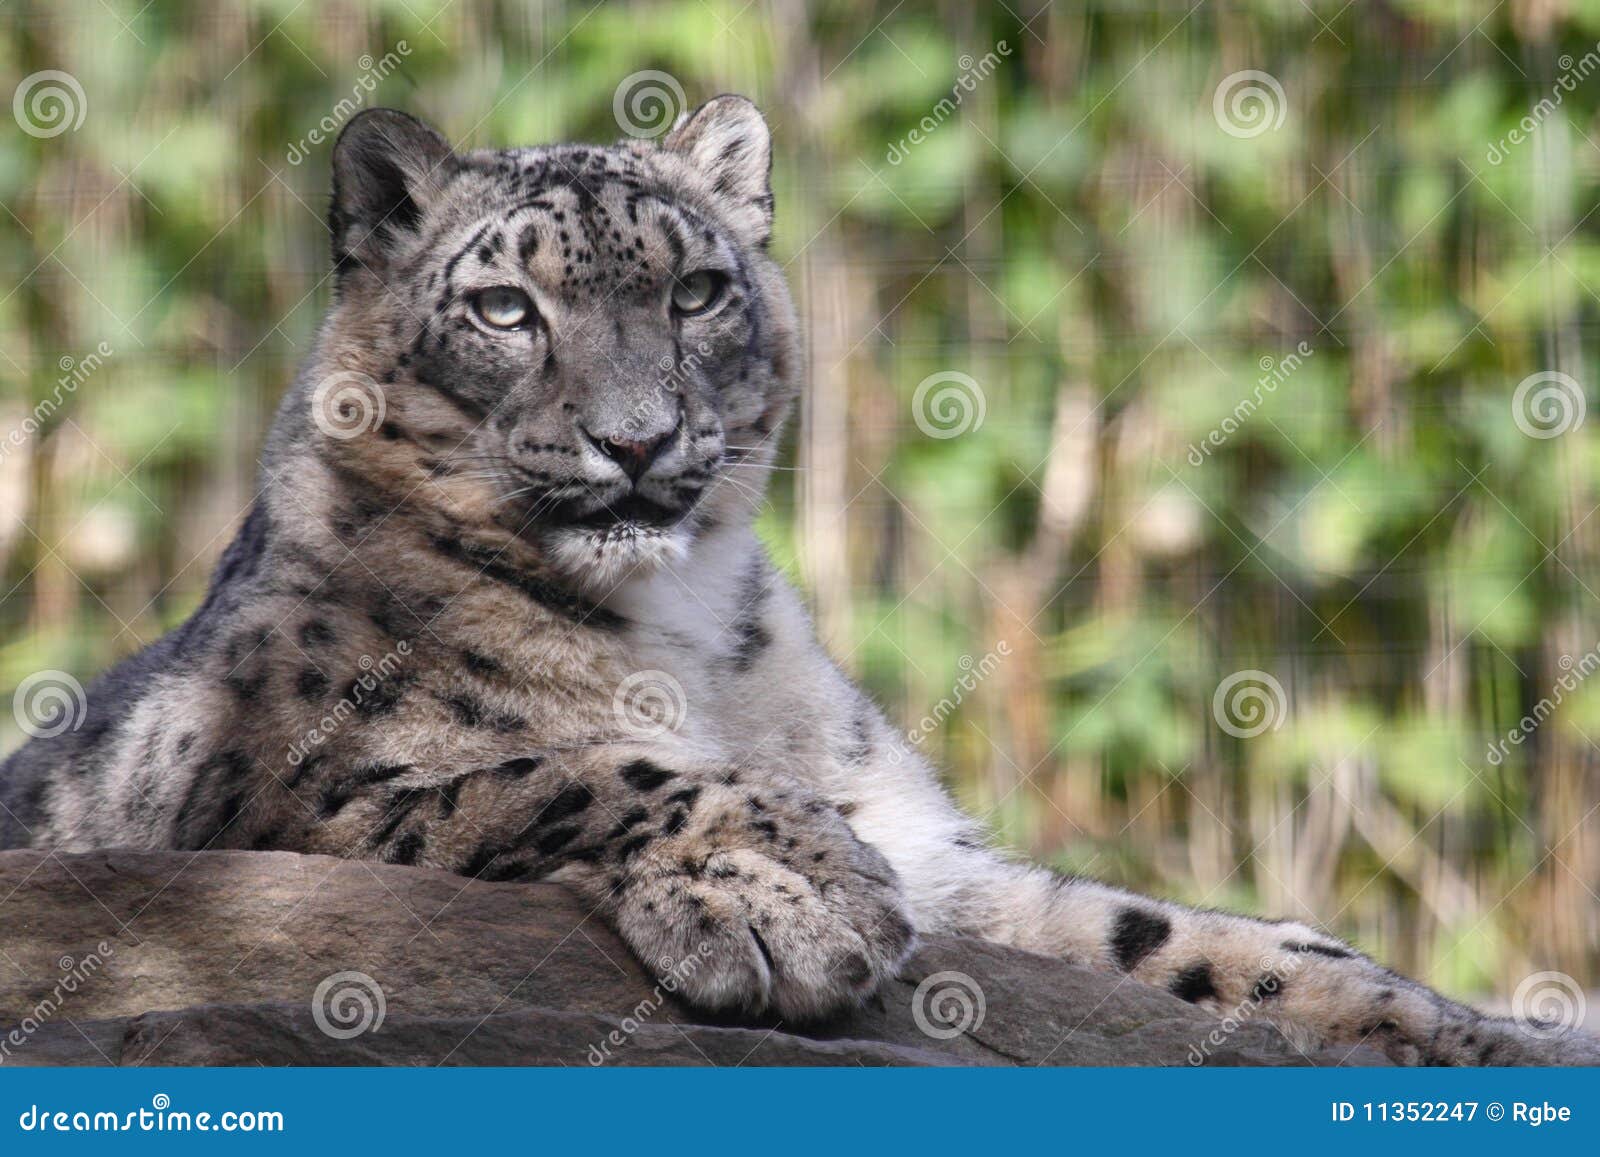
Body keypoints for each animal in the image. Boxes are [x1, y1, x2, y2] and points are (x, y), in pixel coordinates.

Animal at [2, 96, 1595, 1066]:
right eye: (506, 307)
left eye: (698, 290)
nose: (636, 438)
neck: (688, 636)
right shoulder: (272, 790)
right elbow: (566, 771)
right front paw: (797, 895)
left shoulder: (937, 848)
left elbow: (1161, 933)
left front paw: (1488, 1034)